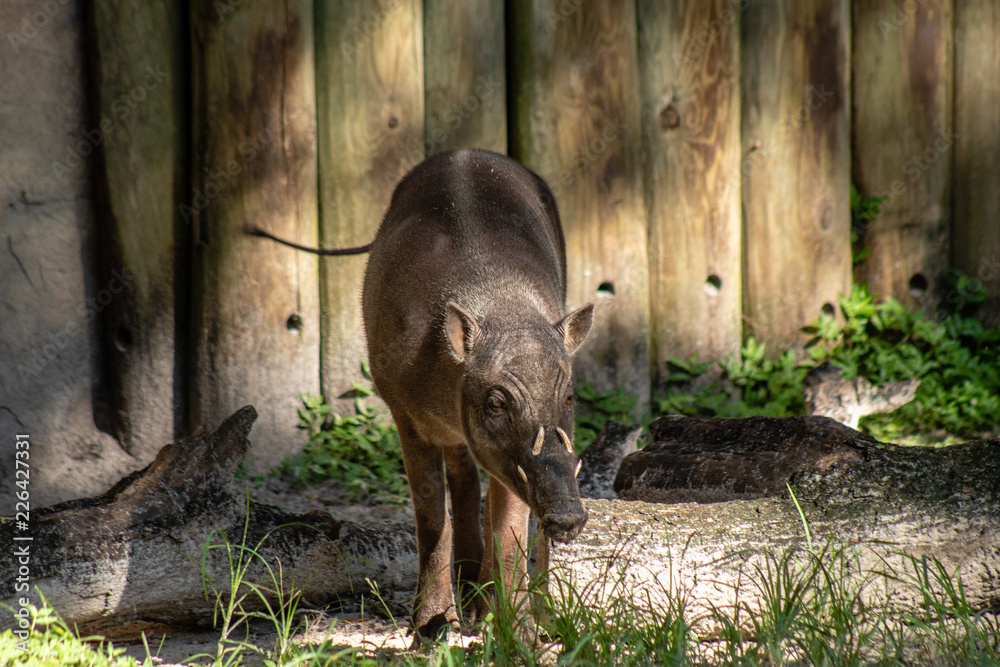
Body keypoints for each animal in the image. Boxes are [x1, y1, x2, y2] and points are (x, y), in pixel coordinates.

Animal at [249, 149, 592, 640]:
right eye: (496, 402)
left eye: (568, 398)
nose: (569, 518)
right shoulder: (404, 414)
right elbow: (432, 517)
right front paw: (431, 625)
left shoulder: (510, 459)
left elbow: (509, 528)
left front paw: (517, 631)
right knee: (463, 477)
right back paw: (469, 604)